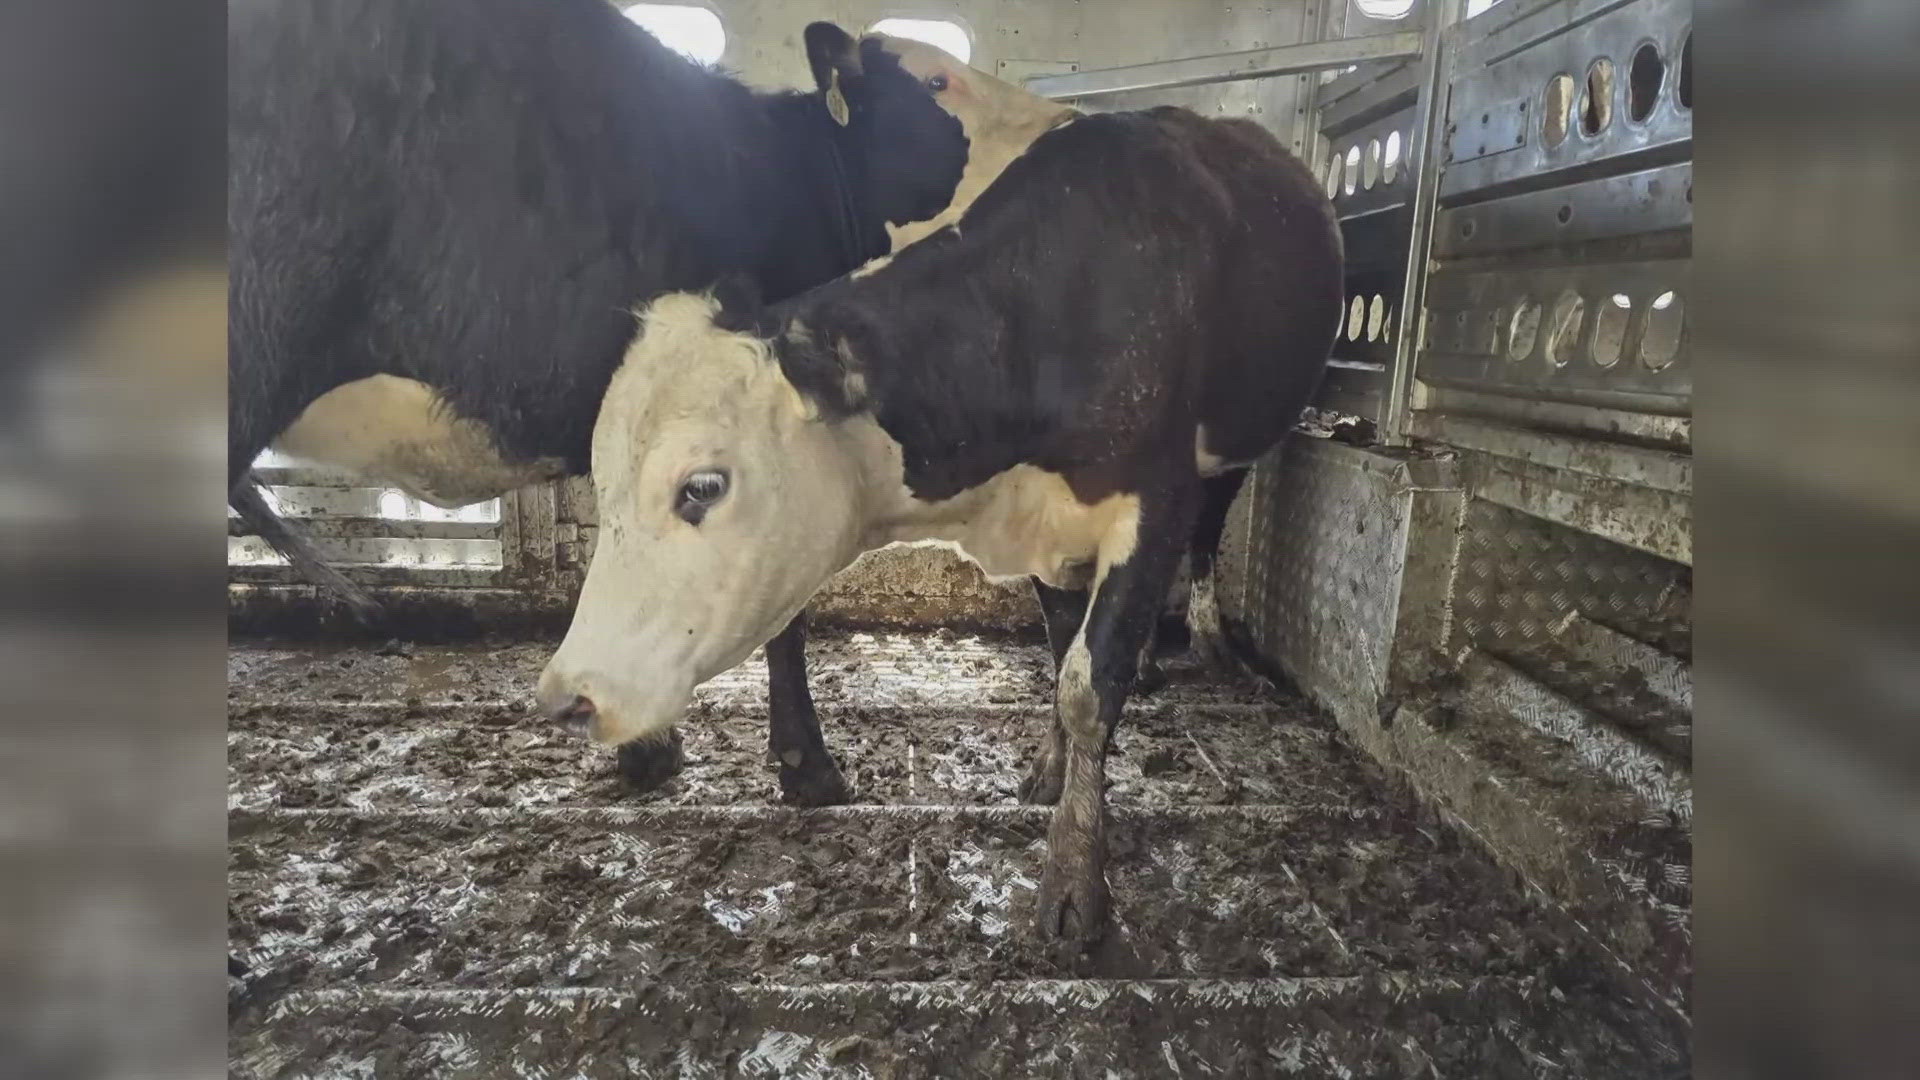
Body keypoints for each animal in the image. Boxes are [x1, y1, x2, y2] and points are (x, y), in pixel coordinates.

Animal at [535, 106, 1345, 940]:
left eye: (701, 486)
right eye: (600, 482)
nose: (567, 696)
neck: (1039, 313)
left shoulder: (1156, 494)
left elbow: (1091, 682)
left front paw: (1075, 875)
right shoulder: (1044, 527)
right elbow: (1064, 653)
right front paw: (1052, 772)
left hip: (1246, 443)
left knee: (1210, 537)